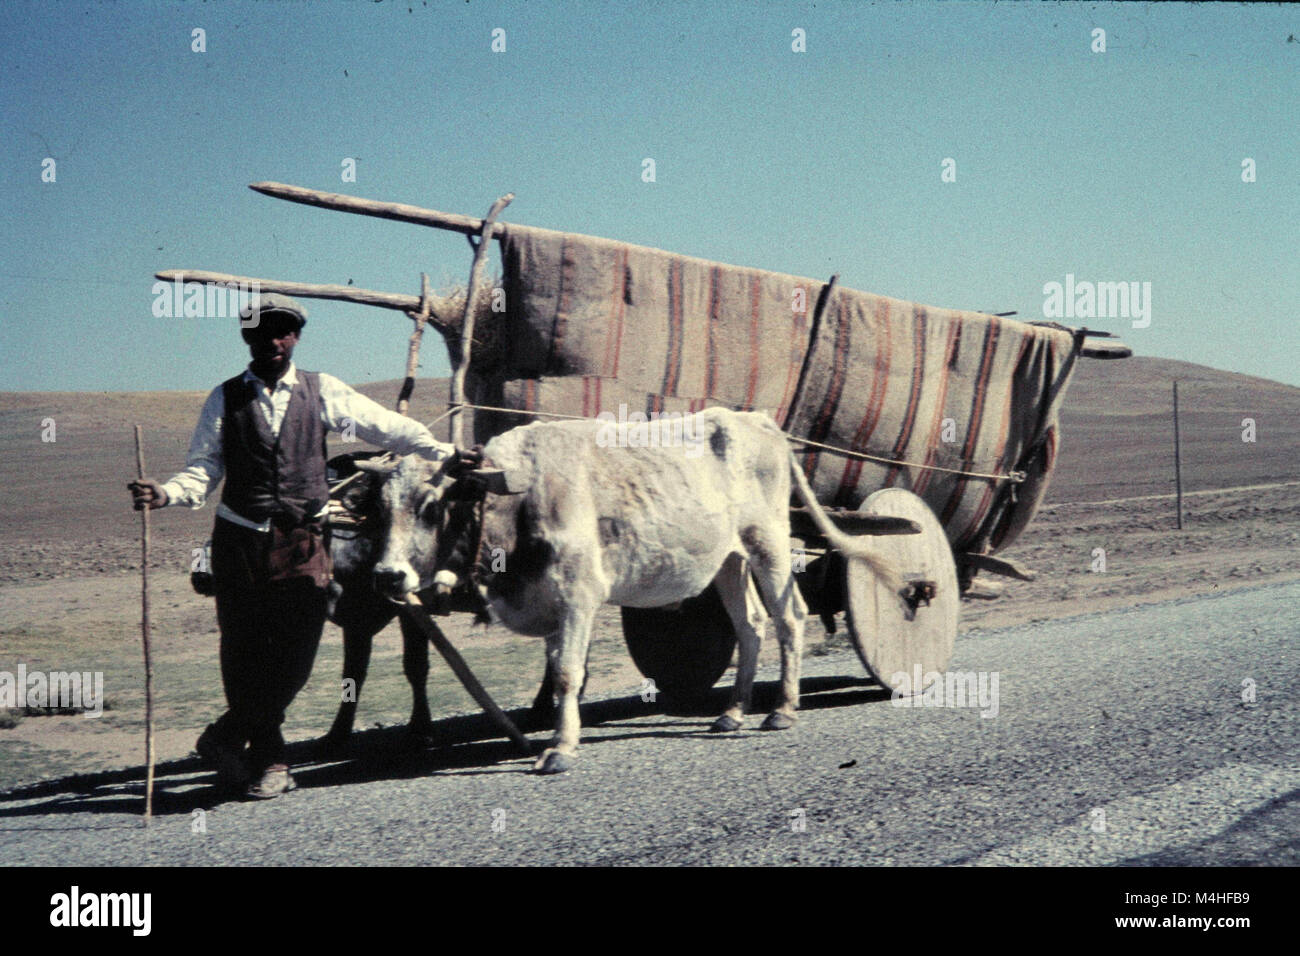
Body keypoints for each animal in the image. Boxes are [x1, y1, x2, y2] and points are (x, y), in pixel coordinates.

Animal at [368, 408, 902, 774]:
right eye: (380, 508)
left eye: (431, 505)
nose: (388, 576)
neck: (518, 494)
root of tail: (753, 418)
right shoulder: (551, 606)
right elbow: (558, 672)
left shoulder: (578, 597)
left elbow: (568, 674)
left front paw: (560, 748)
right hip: (729, 561)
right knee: (750, 626)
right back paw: (733, 712)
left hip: (767, 542)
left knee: (789, 618)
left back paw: (783, 710)